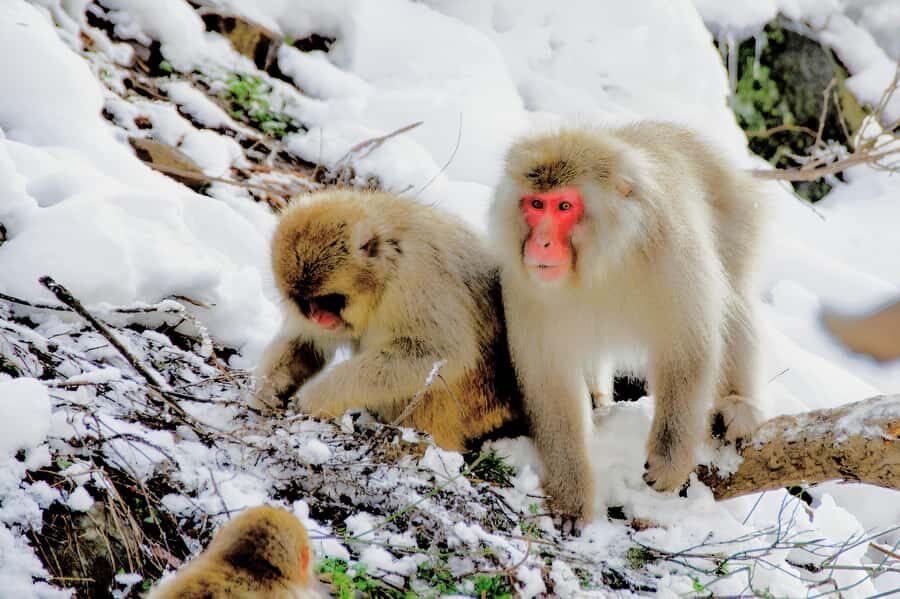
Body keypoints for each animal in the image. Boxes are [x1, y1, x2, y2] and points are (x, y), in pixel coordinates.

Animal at [252, 189, 523, 451]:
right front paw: (268, 389)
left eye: (329, 301)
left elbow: (441, 351)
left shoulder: (417, 277)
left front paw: (319, 396)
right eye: (305, 303)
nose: (318, 317)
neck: (386, 271)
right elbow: (308, 342)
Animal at [490, 122, 767, 522]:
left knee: (734, 295)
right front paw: (571, 493)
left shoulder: (674, 250)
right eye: (536, 204)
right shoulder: (525, 284)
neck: (604, 261)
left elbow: (688, 347)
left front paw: (670, 458)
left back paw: (738, 405)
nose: (540, 243)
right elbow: (551, 382)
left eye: (564, 206)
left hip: (737, 217)